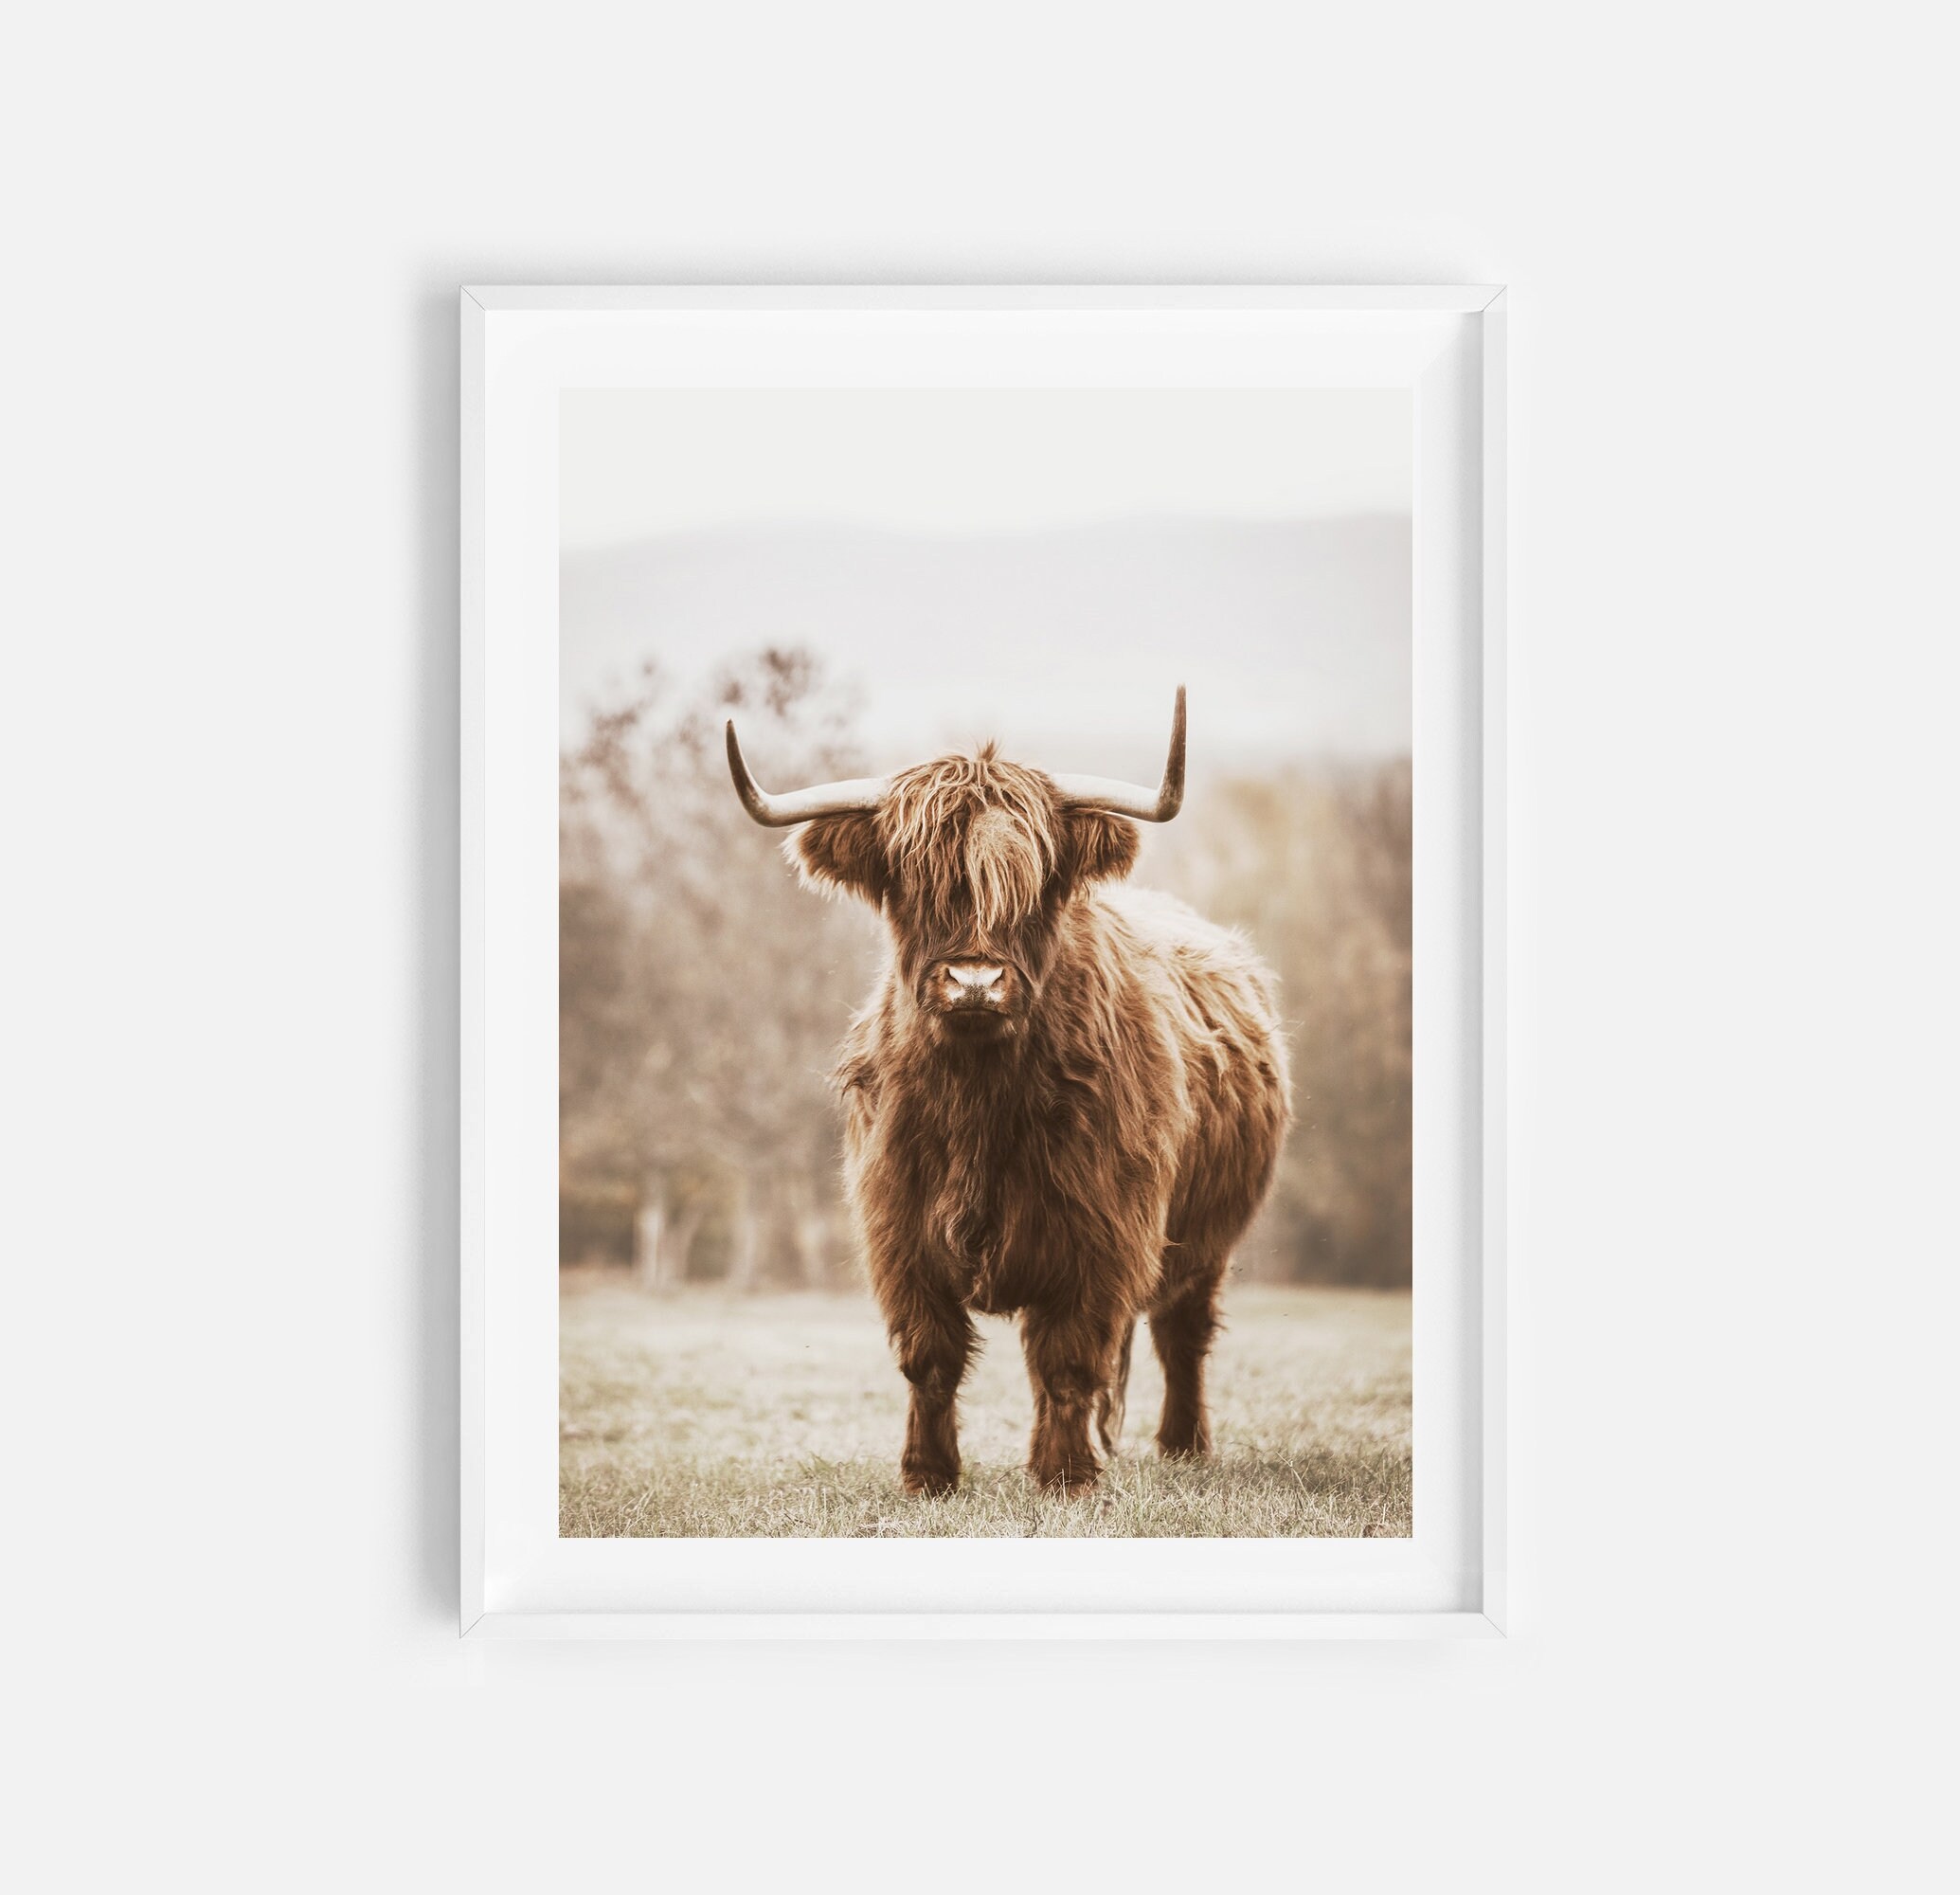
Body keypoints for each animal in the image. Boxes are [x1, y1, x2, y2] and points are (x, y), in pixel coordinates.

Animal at [726, 689, 1291, 1494]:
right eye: (913, 880)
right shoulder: (898, 1230)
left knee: (1179, 1333)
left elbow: (1070, 1356)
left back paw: (1182, 1444)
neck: (978, 1099)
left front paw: (1066, 1475)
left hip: (1206, 1238)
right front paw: (927, 1475)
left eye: (1035, 882)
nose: (973, 982)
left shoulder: (1101, 1232)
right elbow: (929, 1358)